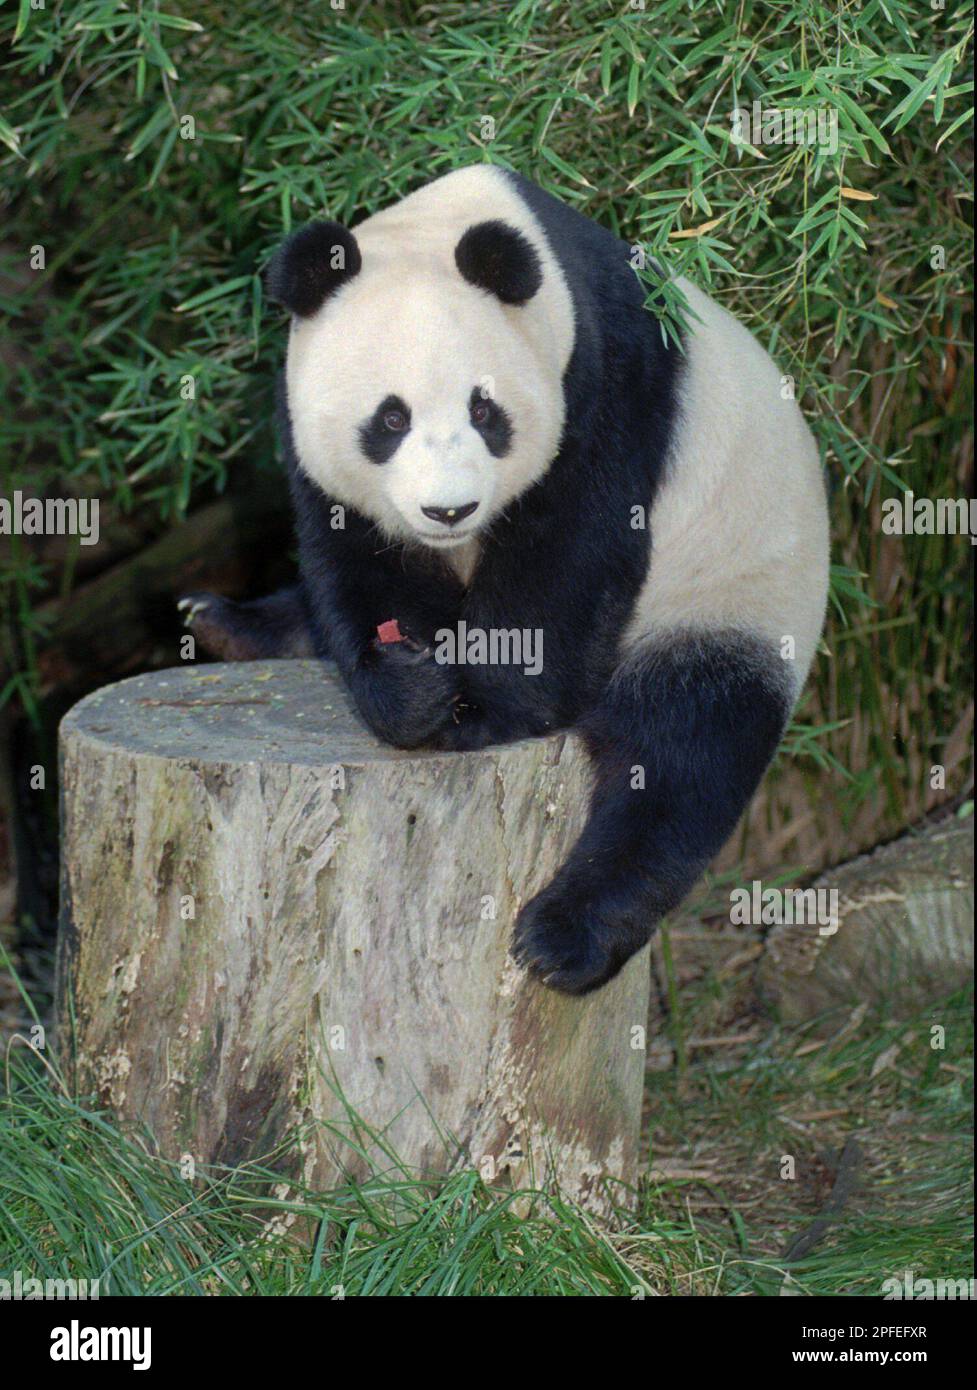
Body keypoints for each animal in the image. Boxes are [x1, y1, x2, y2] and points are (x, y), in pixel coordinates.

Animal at [181, 164, 830, 996]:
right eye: (389, 419)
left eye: (483, 411)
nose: (447, 509)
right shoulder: (308, 431)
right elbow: (357, 562)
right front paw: (412, 688)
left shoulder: (605, 385)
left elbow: (569, 558)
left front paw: (480, 712)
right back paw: (223, 622)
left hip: (731, 593)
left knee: (680, 754)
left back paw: (564, 938)